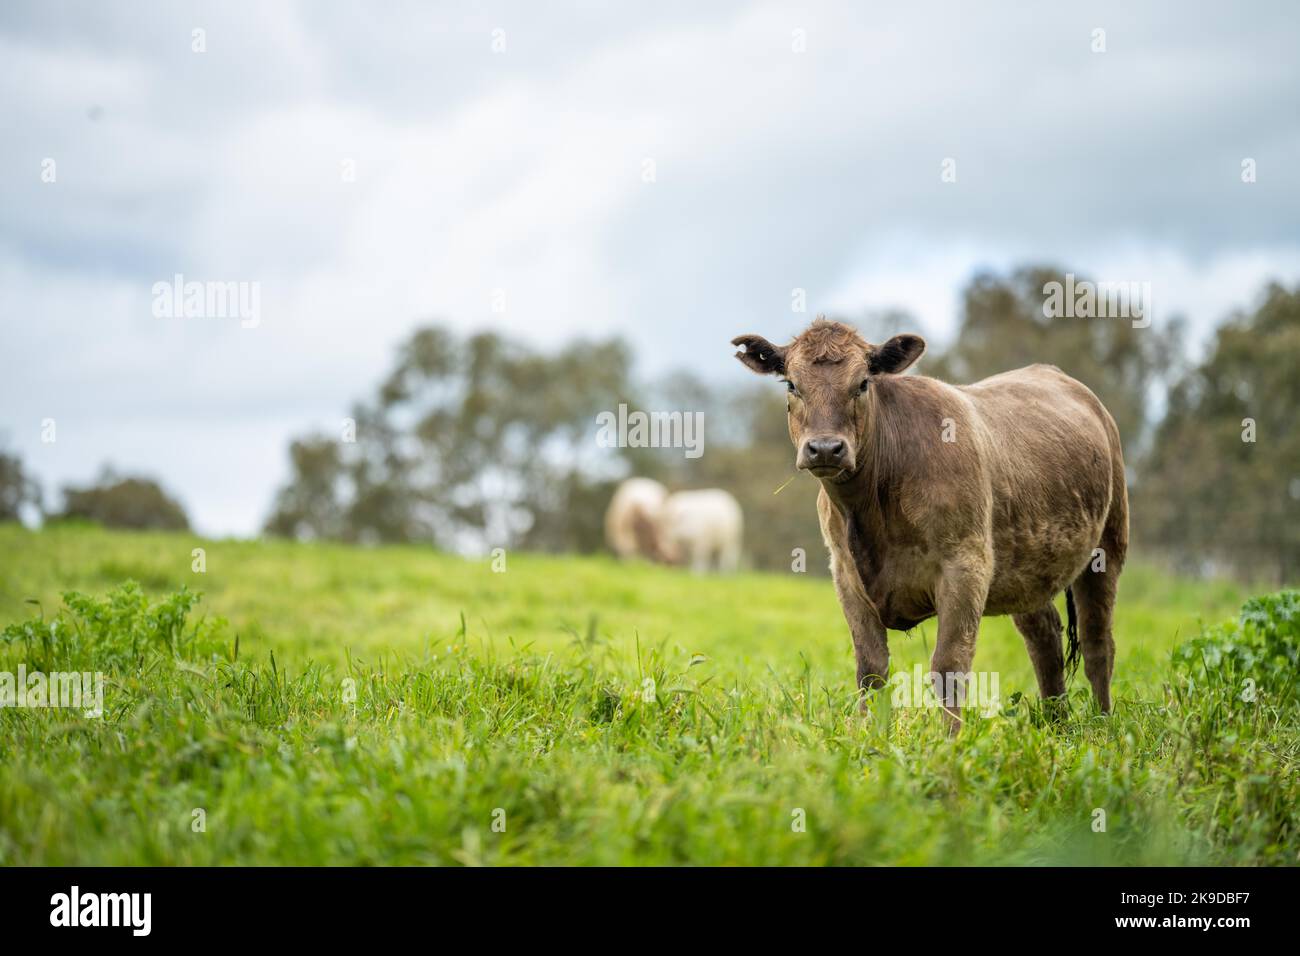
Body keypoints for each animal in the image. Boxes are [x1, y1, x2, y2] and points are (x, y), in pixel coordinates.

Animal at [732, 317, 1127, 730]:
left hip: (1107, 548)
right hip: (1026, 565)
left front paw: (950, 740)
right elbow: (871, 670)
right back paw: (1056, 723)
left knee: (1098, 643)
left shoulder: (965, 565)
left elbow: (949, 667)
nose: (825, 448)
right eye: (792, 384)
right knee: (1044, 637)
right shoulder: (845, 574)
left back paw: (1102, 724)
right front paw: (870, 735)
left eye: (863, 383)